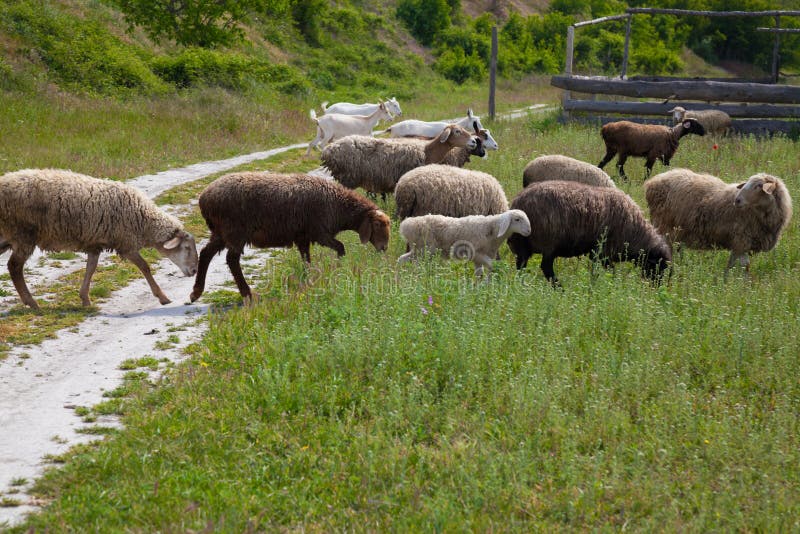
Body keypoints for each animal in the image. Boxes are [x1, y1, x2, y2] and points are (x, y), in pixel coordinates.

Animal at [0, 168, 198, 309]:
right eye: (187, 248)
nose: (195, 271)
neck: (143, 220)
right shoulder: (126, 243)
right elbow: (145, 267)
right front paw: (163, 297)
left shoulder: (94, 244)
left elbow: (91, 268)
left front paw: (85, 299)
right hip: (23, 234)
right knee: (14, 267)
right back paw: (32, 303)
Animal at [189, 172, 391, 302]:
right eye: (378, 225)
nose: (384, 249)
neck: (339, 205)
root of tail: (204, 198)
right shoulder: (320, 232)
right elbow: (341, 247)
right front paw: (339, 268)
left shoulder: (303, 236)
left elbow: (306, 259)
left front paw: (310, 278)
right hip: (235, 231)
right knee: (232, 260)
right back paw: (247, 294)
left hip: (220, 232)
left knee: (206, 253)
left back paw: (196, 292)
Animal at [397, 210, 531, 276]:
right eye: (517, 219)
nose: (529, 231)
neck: (492, 230)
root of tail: (407, 224)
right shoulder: (476, 253)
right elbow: (491, 265)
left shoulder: (480, 258)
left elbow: (480, 273)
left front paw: (481, 289)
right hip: (425, 250)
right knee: (417, 266)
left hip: (418, 250)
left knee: (402, 259)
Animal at [507, 181, 671, 284]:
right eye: (660, 267)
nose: (656, 288)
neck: (636, 233)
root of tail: (519, 201)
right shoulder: (603, 252)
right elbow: (609, 270)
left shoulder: (596, 252)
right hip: (548, 242)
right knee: (546, 268)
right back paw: (560, 288)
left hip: (523, 245)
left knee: (521, 266)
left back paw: (522, 285)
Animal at [644, 169, 792, 274]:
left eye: (759, 186)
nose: (737, 200)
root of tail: (652, 183)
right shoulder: (742, 240)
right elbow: (745, 267)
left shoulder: (739, 244)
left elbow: (731, 265)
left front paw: (726, 282)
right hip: (664, 226)